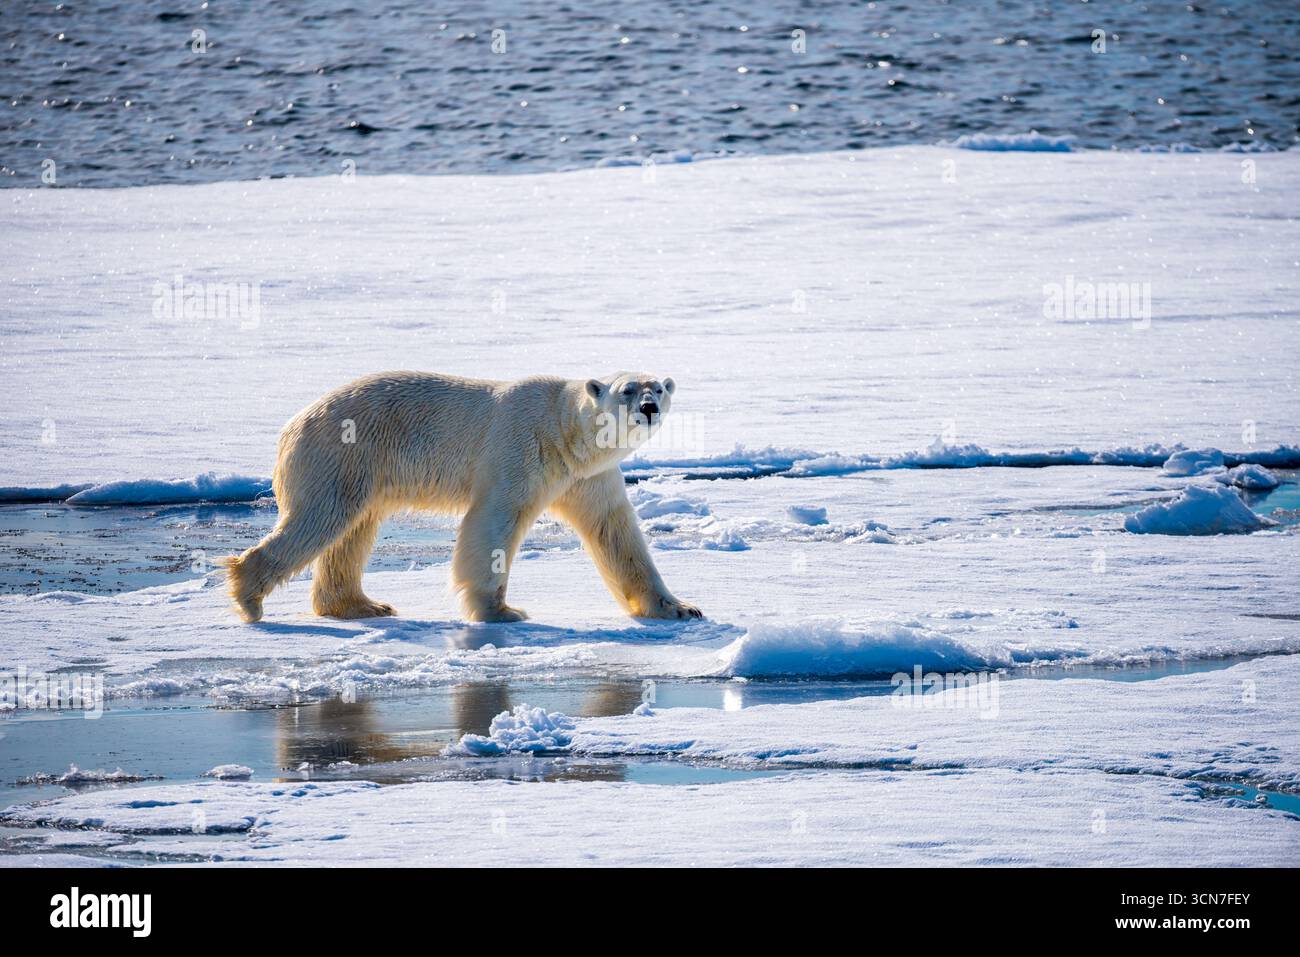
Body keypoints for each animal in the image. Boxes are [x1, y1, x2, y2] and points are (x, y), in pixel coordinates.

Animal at [218, 371, 702, 624]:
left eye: (659, 387)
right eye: (626, 390)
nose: (648, 408)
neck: (563, 431)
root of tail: (292, 424)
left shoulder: (588, 476)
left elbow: (615, 530)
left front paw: (680, 607)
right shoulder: (518, 450)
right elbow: (494, 522)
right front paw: (501, 611)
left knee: (352, 531)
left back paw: (361, 605)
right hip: (340, 453)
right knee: (319, 518)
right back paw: (249, 596)